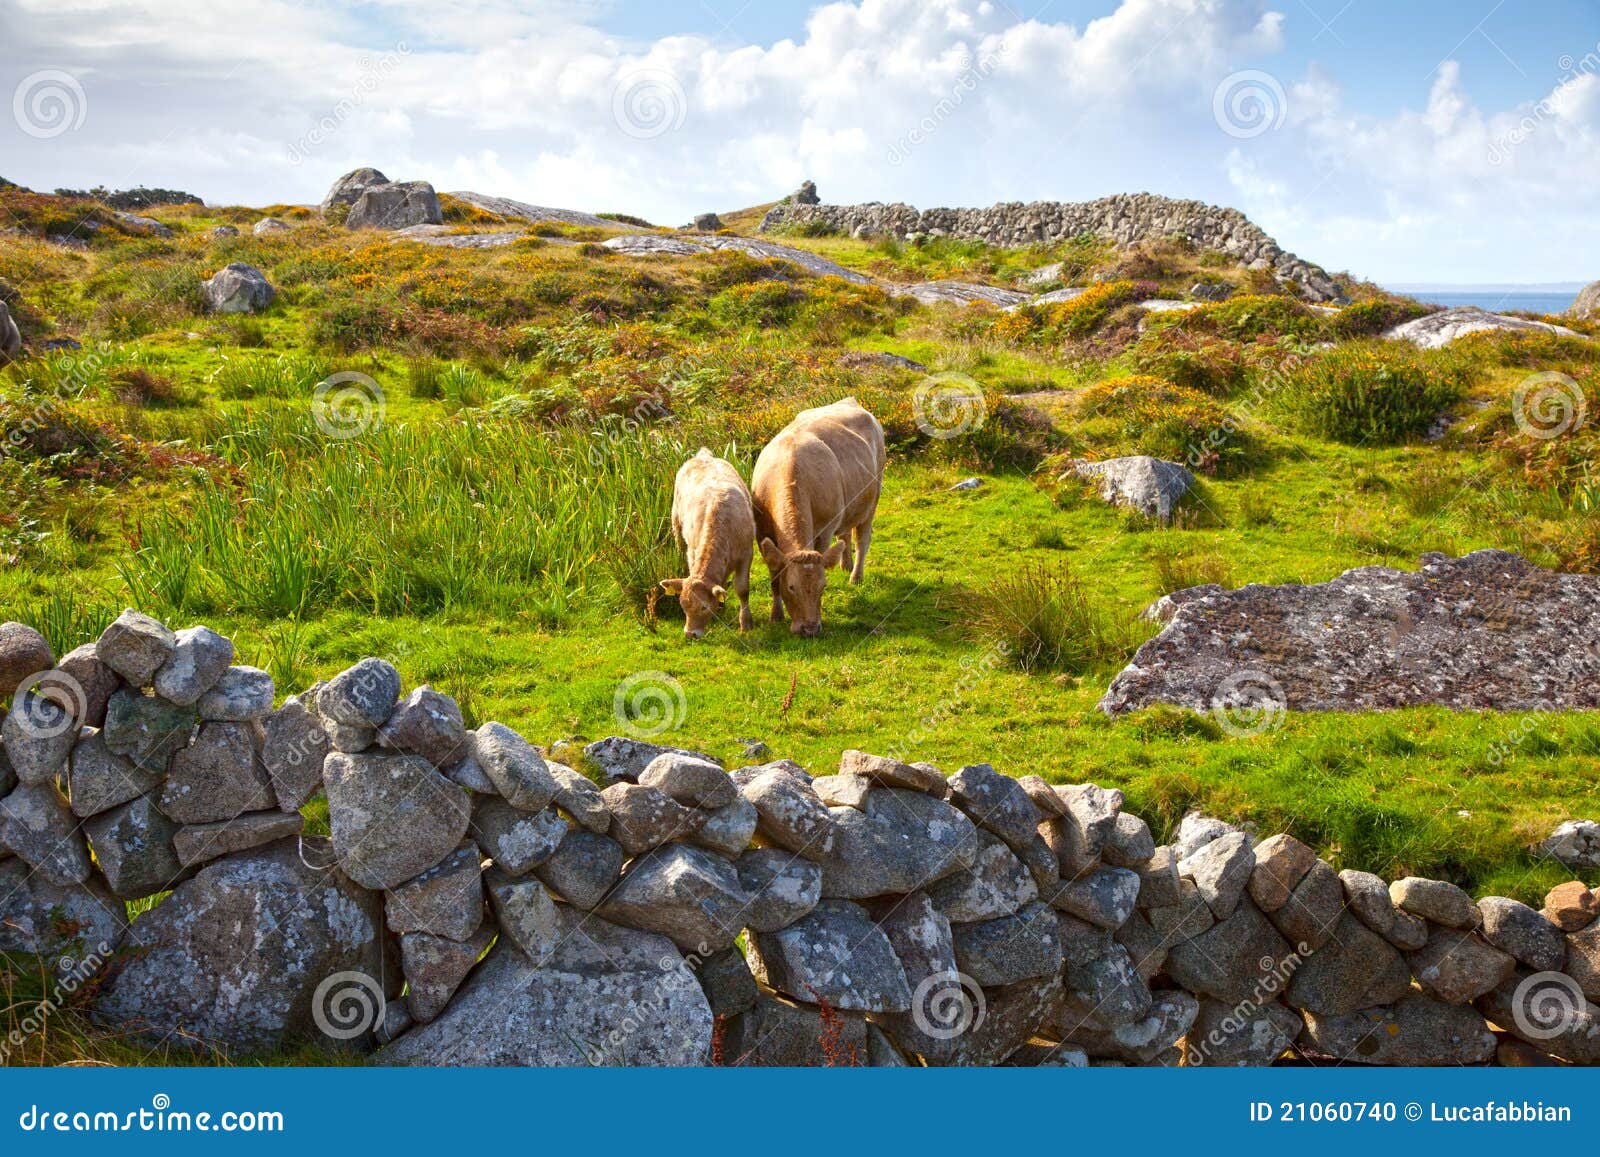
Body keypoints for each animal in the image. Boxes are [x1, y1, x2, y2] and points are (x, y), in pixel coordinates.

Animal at [661, 448, 756, 638]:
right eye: (682, 605)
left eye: (703, 607)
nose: (690, 633)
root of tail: (703, 456)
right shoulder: (692, 551)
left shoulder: (746, 554)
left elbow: (742, 588)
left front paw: (745, 623)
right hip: (676, 522)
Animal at [751, 397, 886, 637]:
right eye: (791, 587)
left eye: (823, 586)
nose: (810, 628)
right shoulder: (762, 532)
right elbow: (774, 575)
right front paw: (776, 615)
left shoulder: (824, 530)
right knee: (845, 536)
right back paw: (845, 564)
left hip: (872, 499)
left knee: (862, 539)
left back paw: (855, 577)